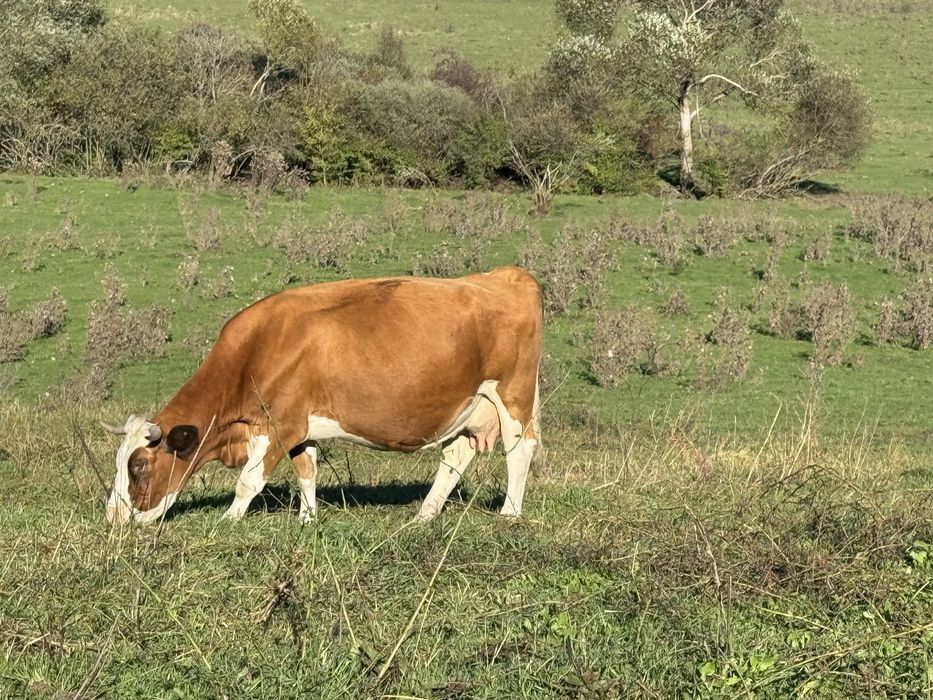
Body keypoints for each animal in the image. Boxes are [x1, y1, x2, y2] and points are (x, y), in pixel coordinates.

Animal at [102, 266, 543, 525]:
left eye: (138, 467)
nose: (112, 517)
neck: (258, 348)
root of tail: (509, 274)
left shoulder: (279, 426)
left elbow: (249, 481)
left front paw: (228, 520)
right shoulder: (301, 428)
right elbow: (307, 471)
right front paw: (307, 520)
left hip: (512, 395)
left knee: (519, 449)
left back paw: (509, 514)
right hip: (468, 407)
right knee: (455, 457)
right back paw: (424, 515)